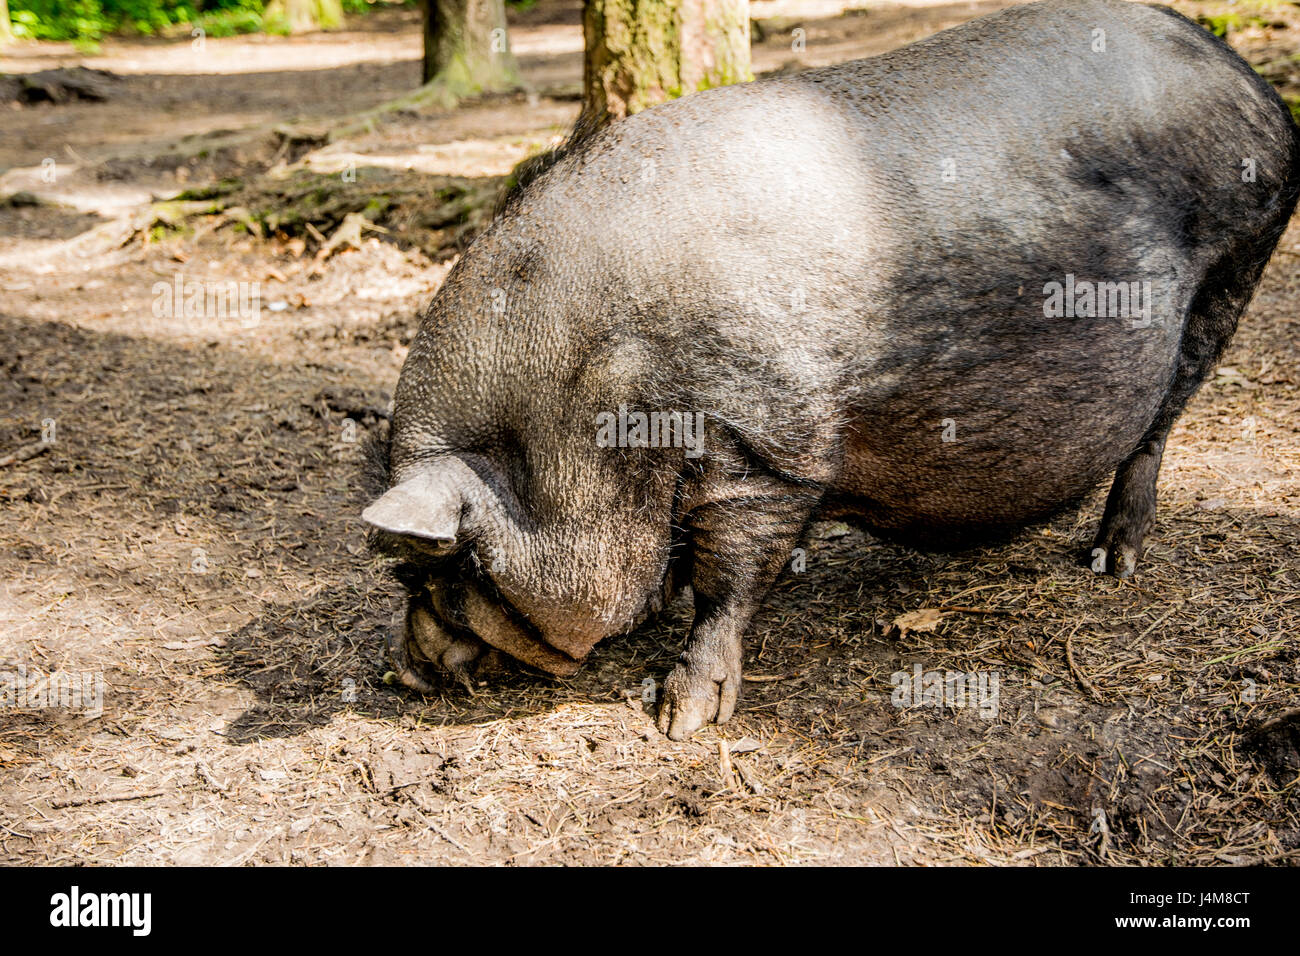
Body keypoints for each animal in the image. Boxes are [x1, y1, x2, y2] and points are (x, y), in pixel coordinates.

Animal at [363, 0, 1300, 739]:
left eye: (440, 566)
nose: (400, 669)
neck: (591, 402)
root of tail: (1254, 84)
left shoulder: (762, 454)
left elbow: (728, 582)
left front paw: (681, 719)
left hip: (1238, 265)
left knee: (1159, 427)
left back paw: (1110, 561)